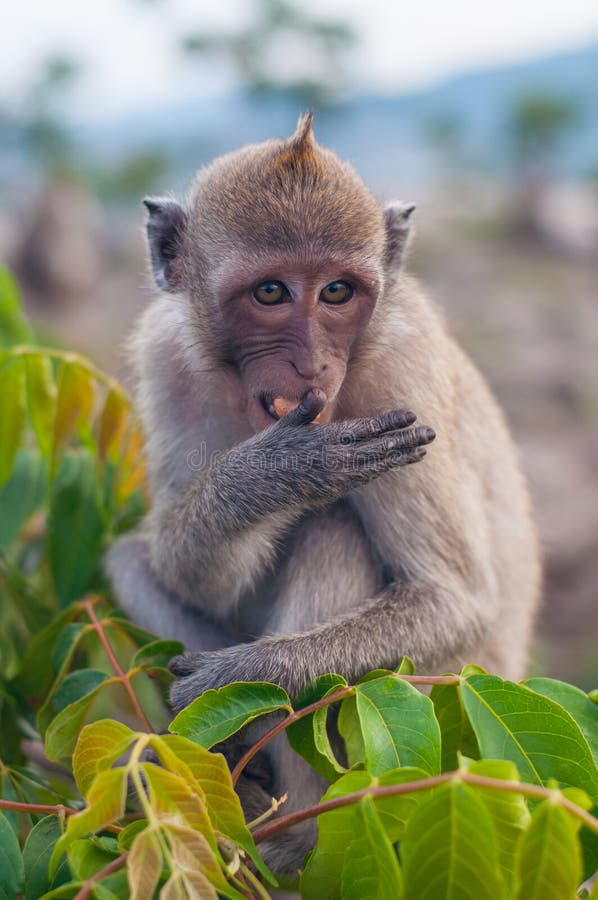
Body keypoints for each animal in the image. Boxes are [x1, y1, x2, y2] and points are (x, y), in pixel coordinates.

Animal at [106, 113, 540, 873]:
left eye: (337, 292)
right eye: (270, 293)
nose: (311, 366)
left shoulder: (401, 371)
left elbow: (454, 599)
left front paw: (238, 676)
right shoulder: (166, 355)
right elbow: (192, 578)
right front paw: (276, 472)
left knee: (335, 532)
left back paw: (291, 834)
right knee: (133, 560)